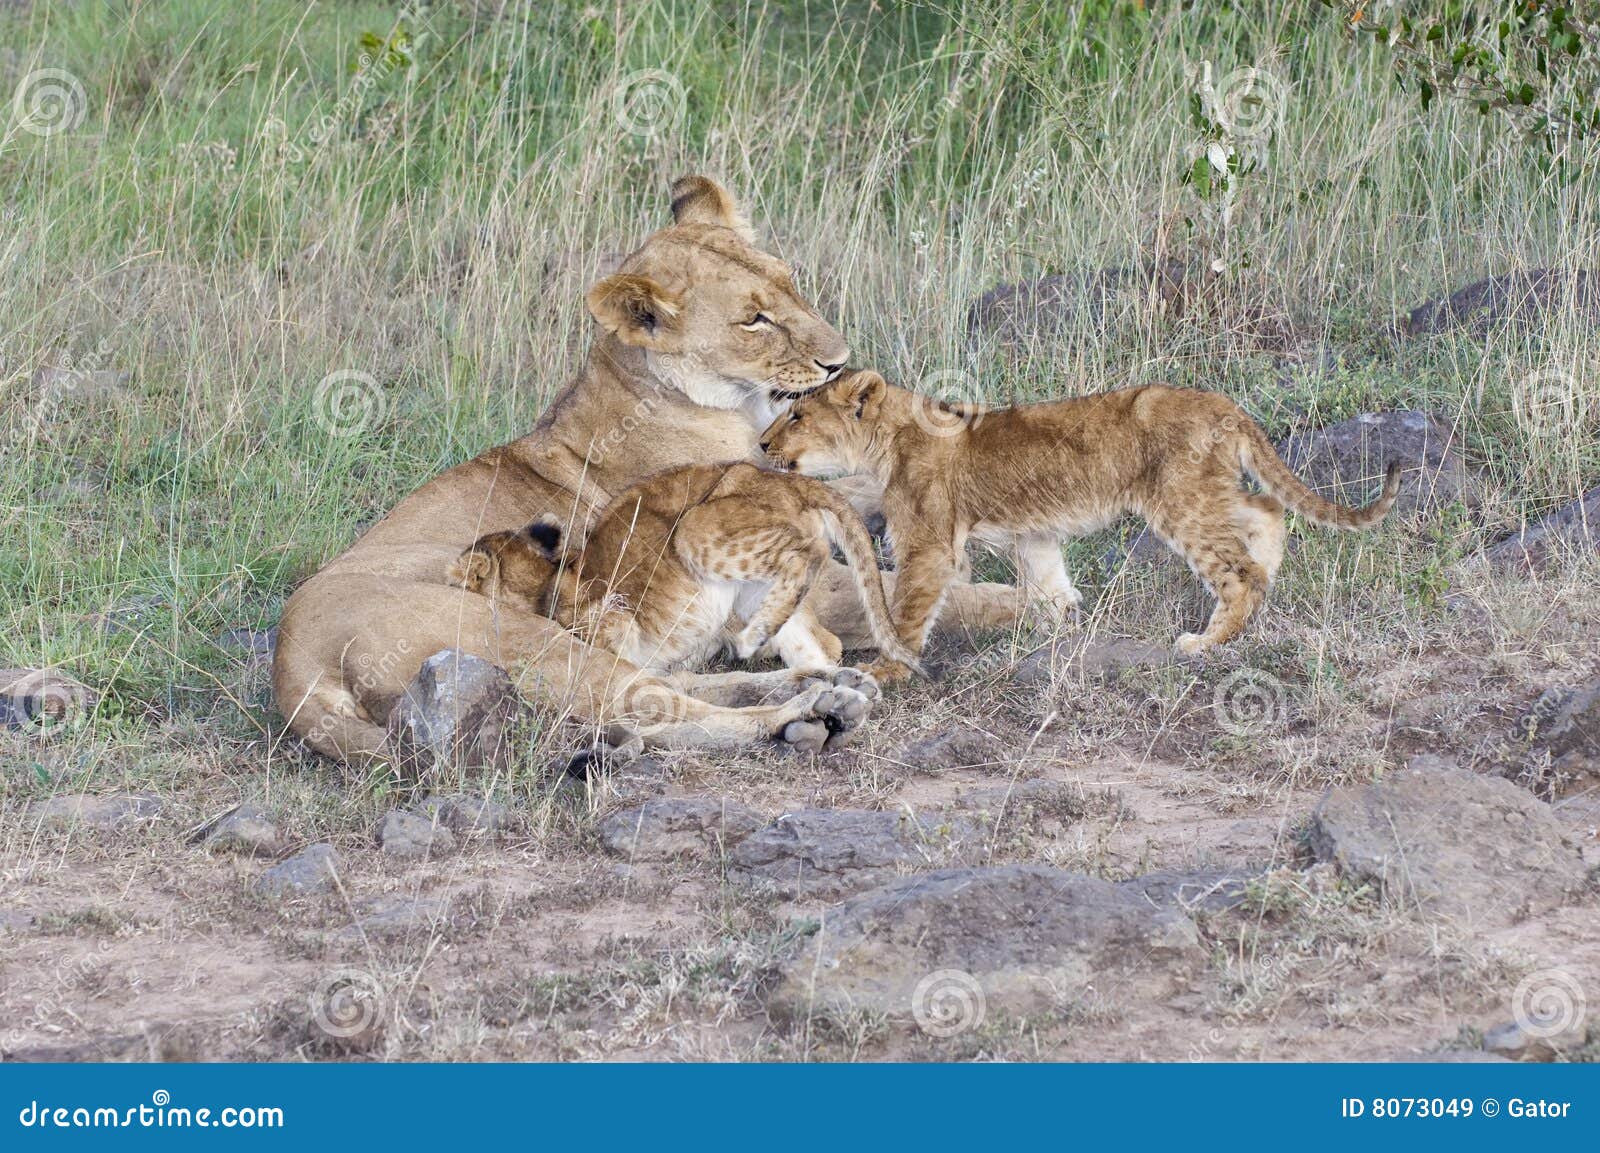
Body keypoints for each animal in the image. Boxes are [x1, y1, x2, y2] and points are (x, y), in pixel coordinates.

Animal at [446, 462, 925, 679]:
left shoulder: (612, 617)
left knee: (805, 555)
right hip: (752, 591)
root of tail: (787, 478)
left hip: (697, 525)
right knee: (821, 644)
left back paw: (750, 643)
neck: (542, 578)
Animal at [760, 370, 1400, 678]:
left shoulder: (930, 545)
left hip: (1180, 501)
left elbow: (907, 610)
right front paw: (1058, 630)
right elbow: (1050, 590)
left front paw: (889, 669)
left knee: (1237, 571)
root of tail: (1225, 405)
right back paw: (1265, 585)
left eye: (796, 416)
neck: (888, 439)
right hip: (1205, 491)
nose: (763, 444)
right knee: (1267, 512)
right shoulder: (1033, 535)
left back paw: (1208, 640)